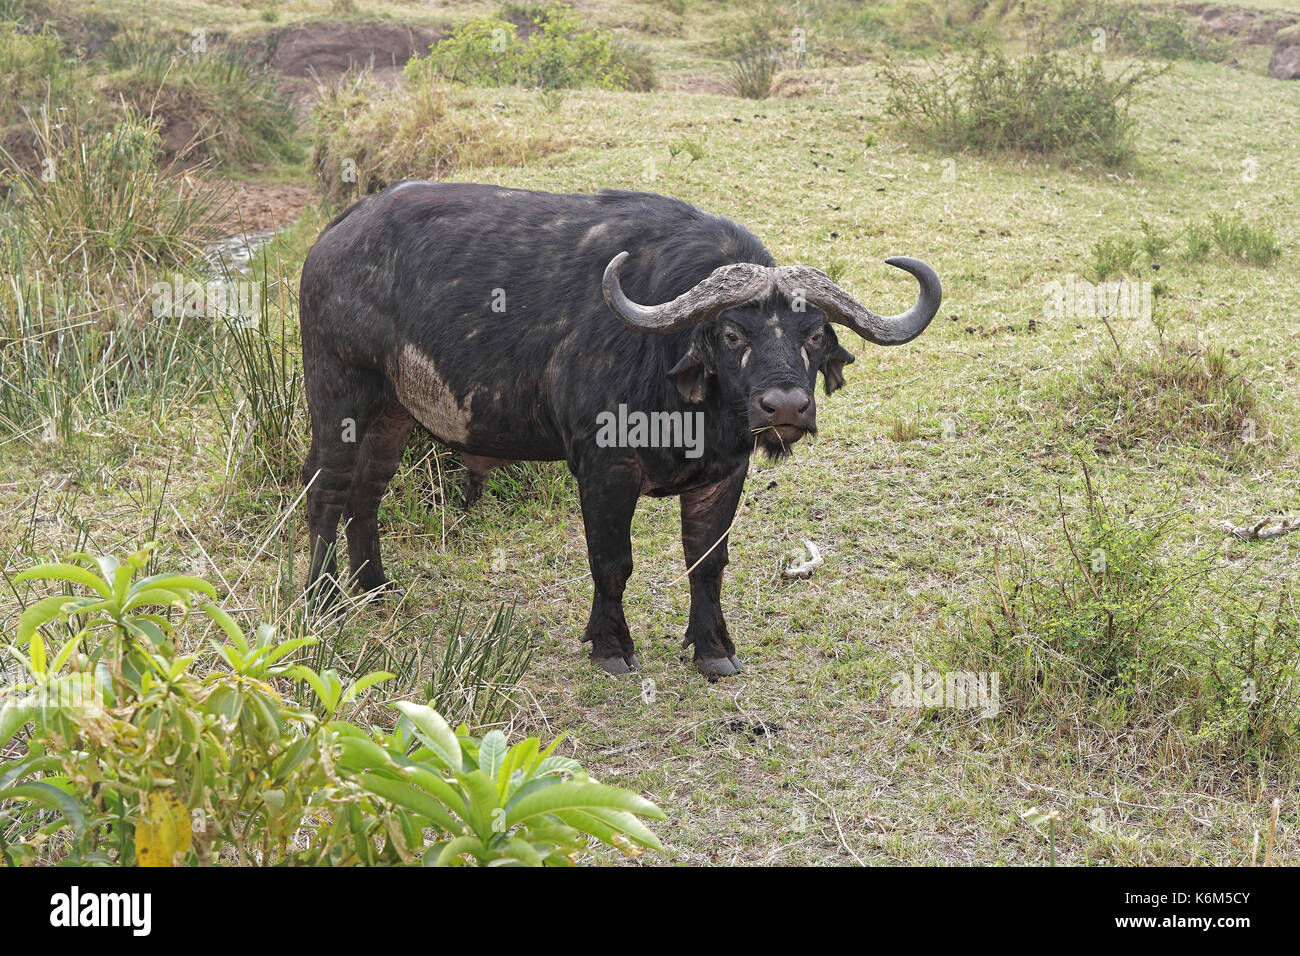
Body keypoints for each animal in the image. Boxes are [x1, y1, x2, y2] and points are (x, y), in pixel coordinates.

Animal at [299, 181, 941, 678]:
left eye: (812, 336)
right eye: (732, 333)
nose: (784, 406)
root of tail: (336, 234)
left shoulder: (724, 474)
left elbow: (707, 562)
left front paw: (713, 649)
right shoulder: (605, 470)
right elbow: (613, 561)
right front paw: (611, 646)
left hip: (393, 414)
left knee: (367, 493)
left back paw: (375, 586)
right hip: (339, 395)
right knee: (326, 489)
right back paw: (322, 600)